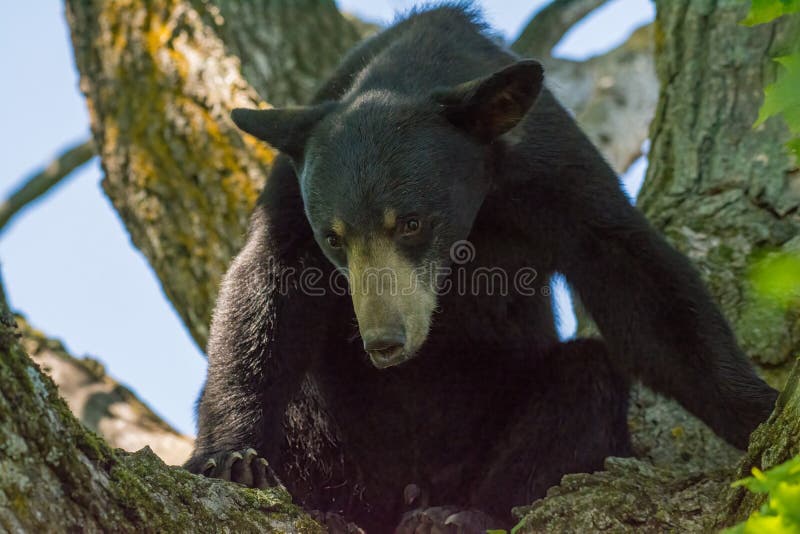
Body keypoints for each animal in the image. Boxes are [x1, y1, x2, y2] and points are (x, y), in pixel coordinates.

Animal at [185, 5, 777, 532]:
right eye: (334, 238)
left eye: (411, 223)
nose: (384, 342)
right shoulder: (289, 190)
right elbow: (265, 290)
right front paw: (230, 456)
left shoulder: (551, 164)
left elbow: (638, 283)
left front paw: (757, 408)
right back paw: (335, 513)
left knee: (586, 377)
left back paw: (458, 515)